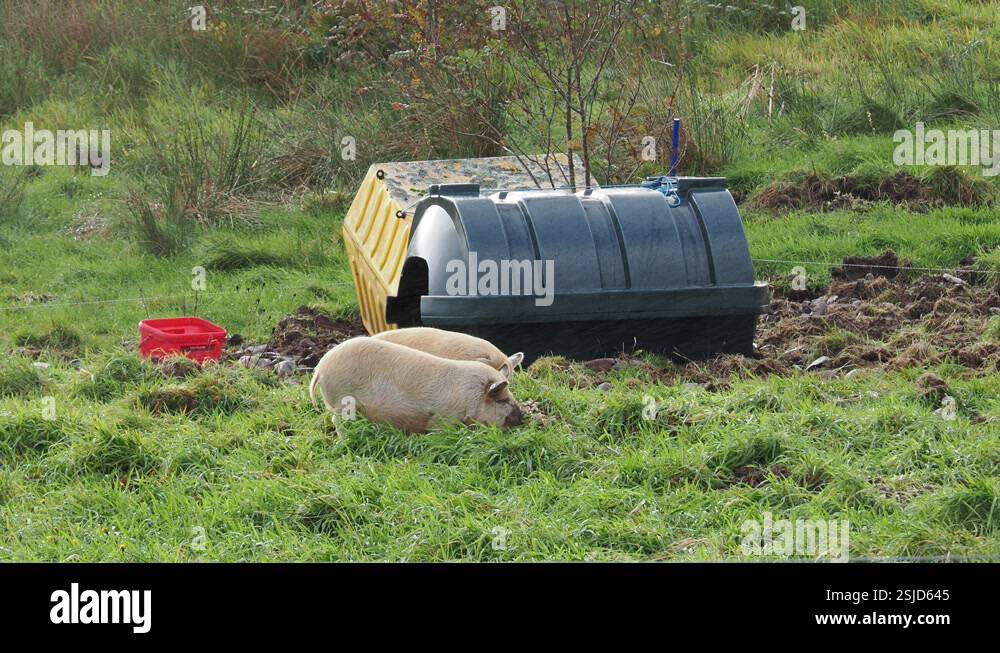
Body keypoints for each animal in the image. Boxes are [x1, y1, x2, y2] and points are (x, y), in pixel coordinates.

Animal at [309, 337, 523, 434]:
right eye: (502, 400)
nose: (523, 417)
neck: (471, 395)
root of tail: (320, 367)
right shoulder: (443, 418)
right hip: (340, 401)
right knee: (337, 421)